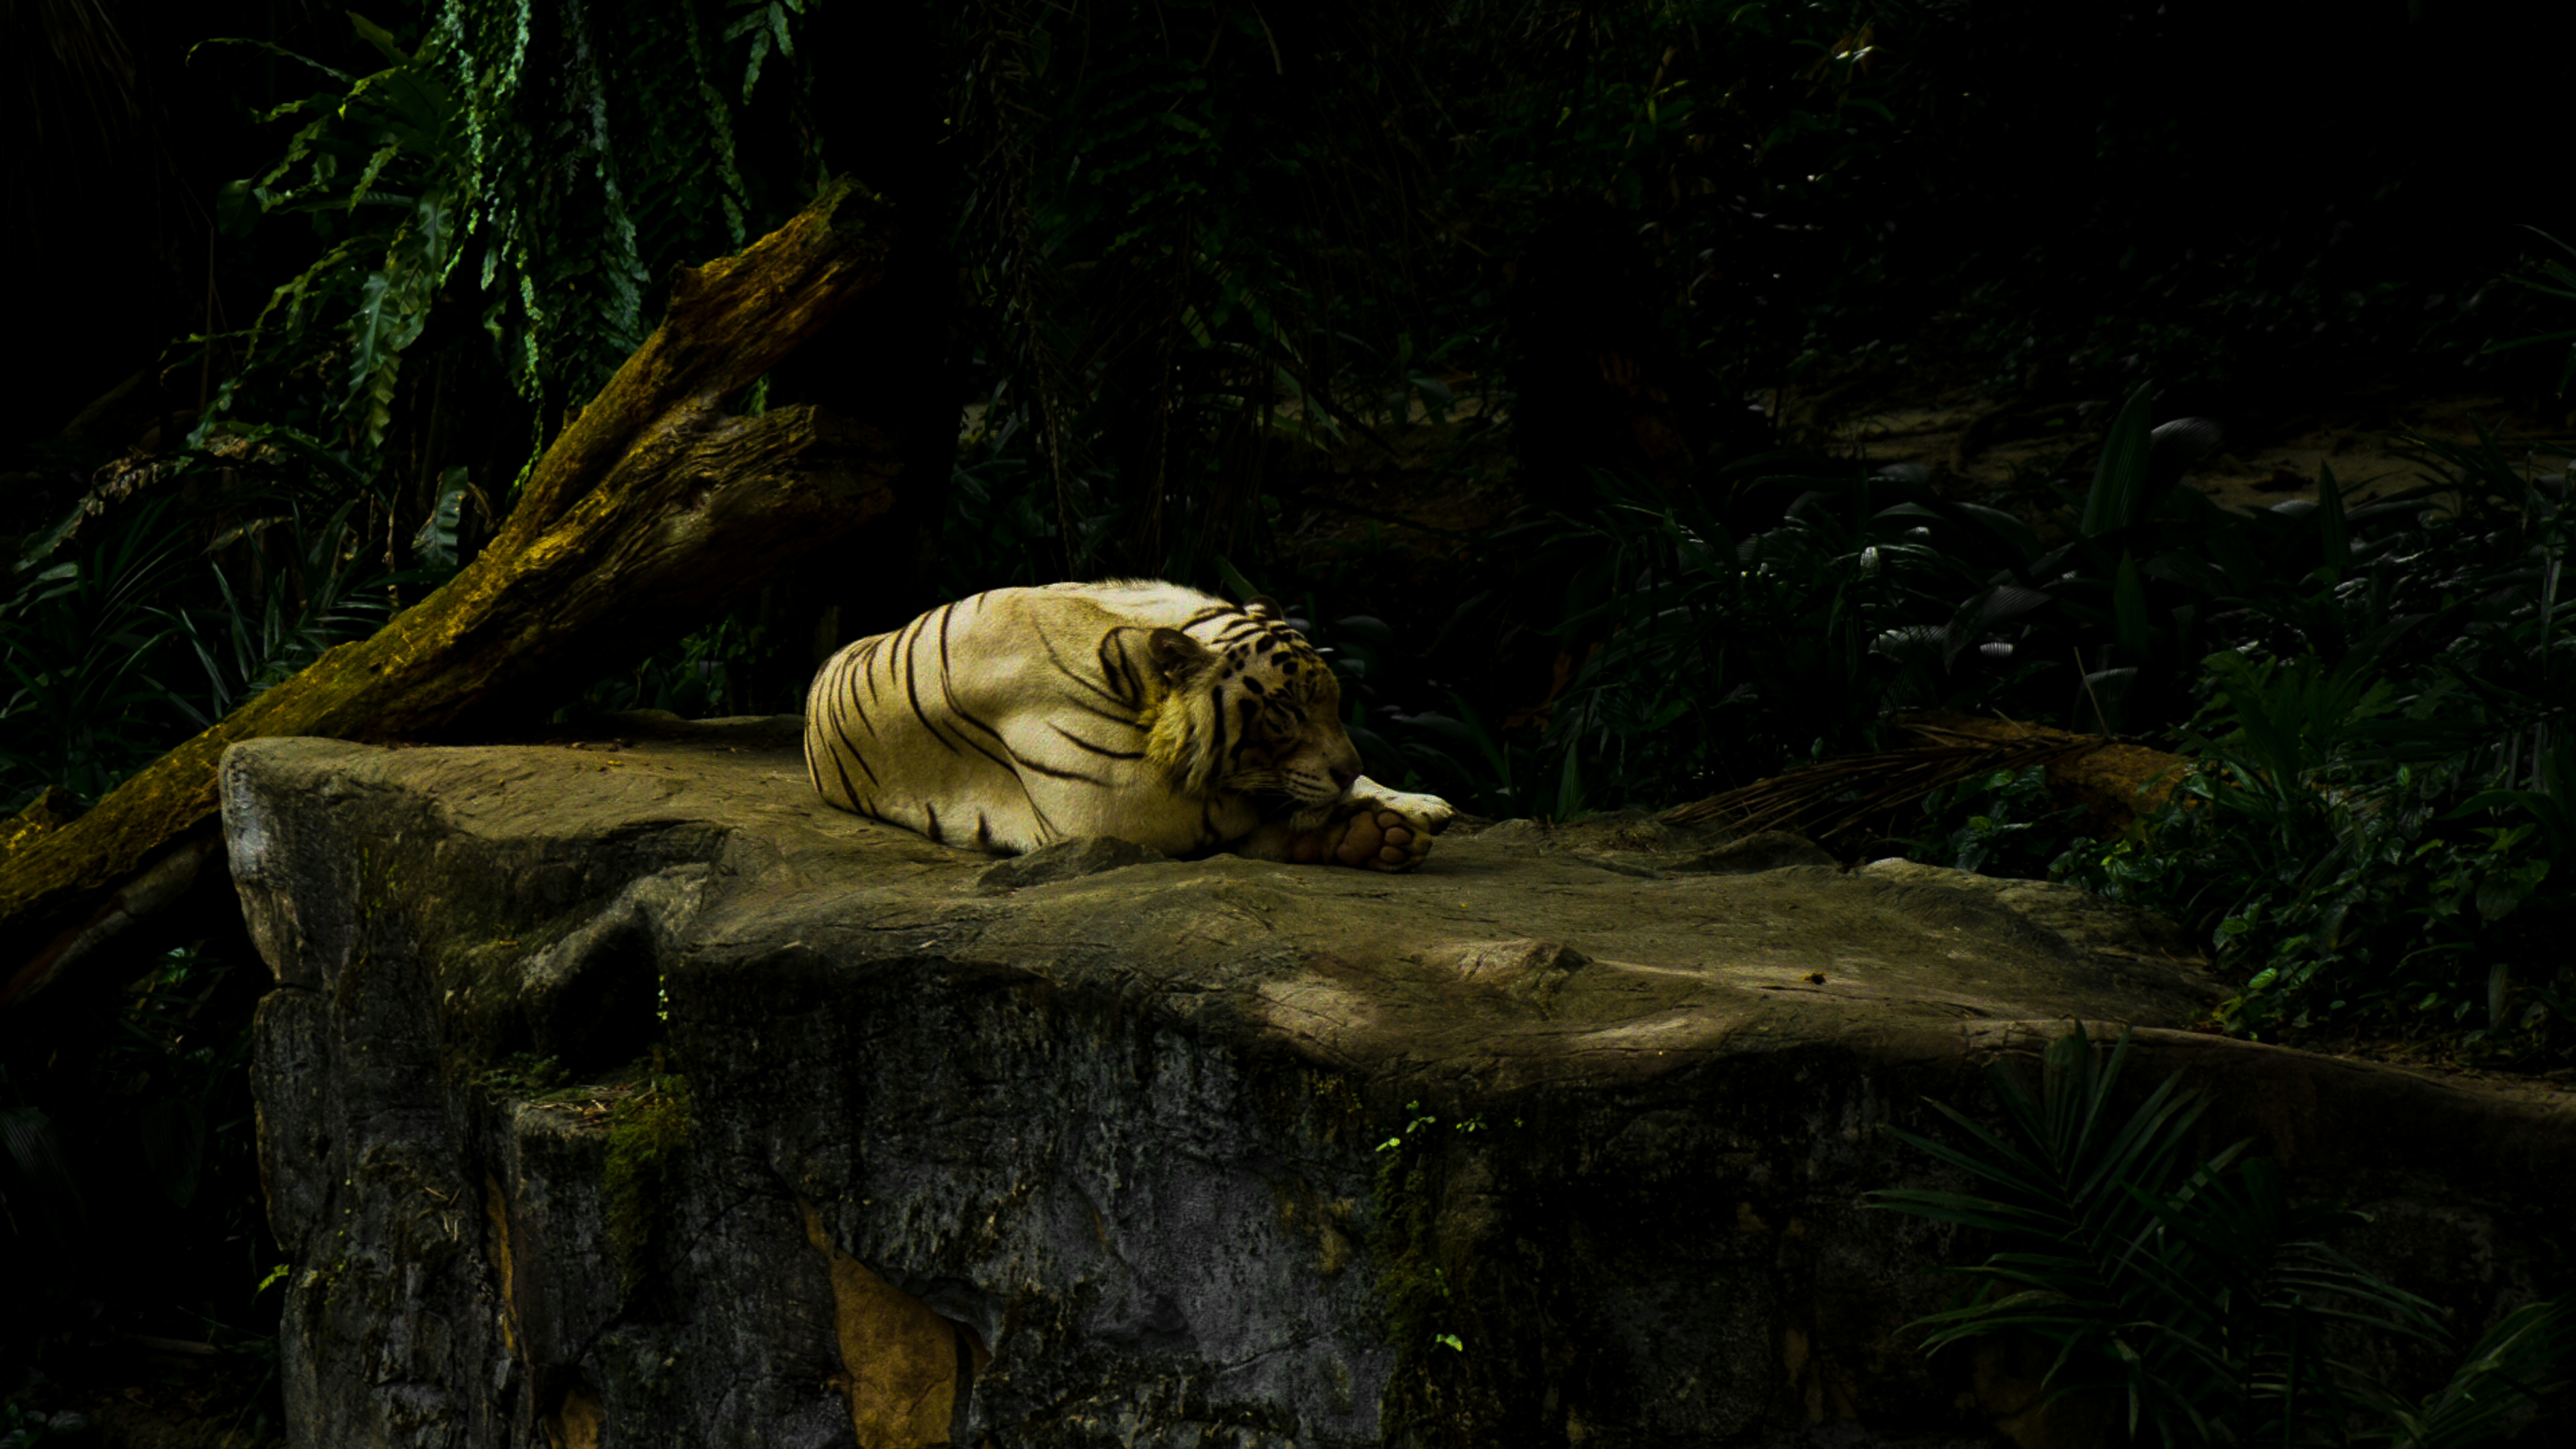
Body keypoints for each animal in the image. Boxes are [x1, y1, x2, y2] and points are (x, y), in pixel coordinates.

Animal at [802, 581, 1456, 870]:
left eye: (1333, 707)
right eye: (1286, 713)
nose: (1348, 768)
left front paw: (1406, 809)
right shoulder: (1109, 806)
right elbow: (1249, 815)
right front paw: (1362, 832)